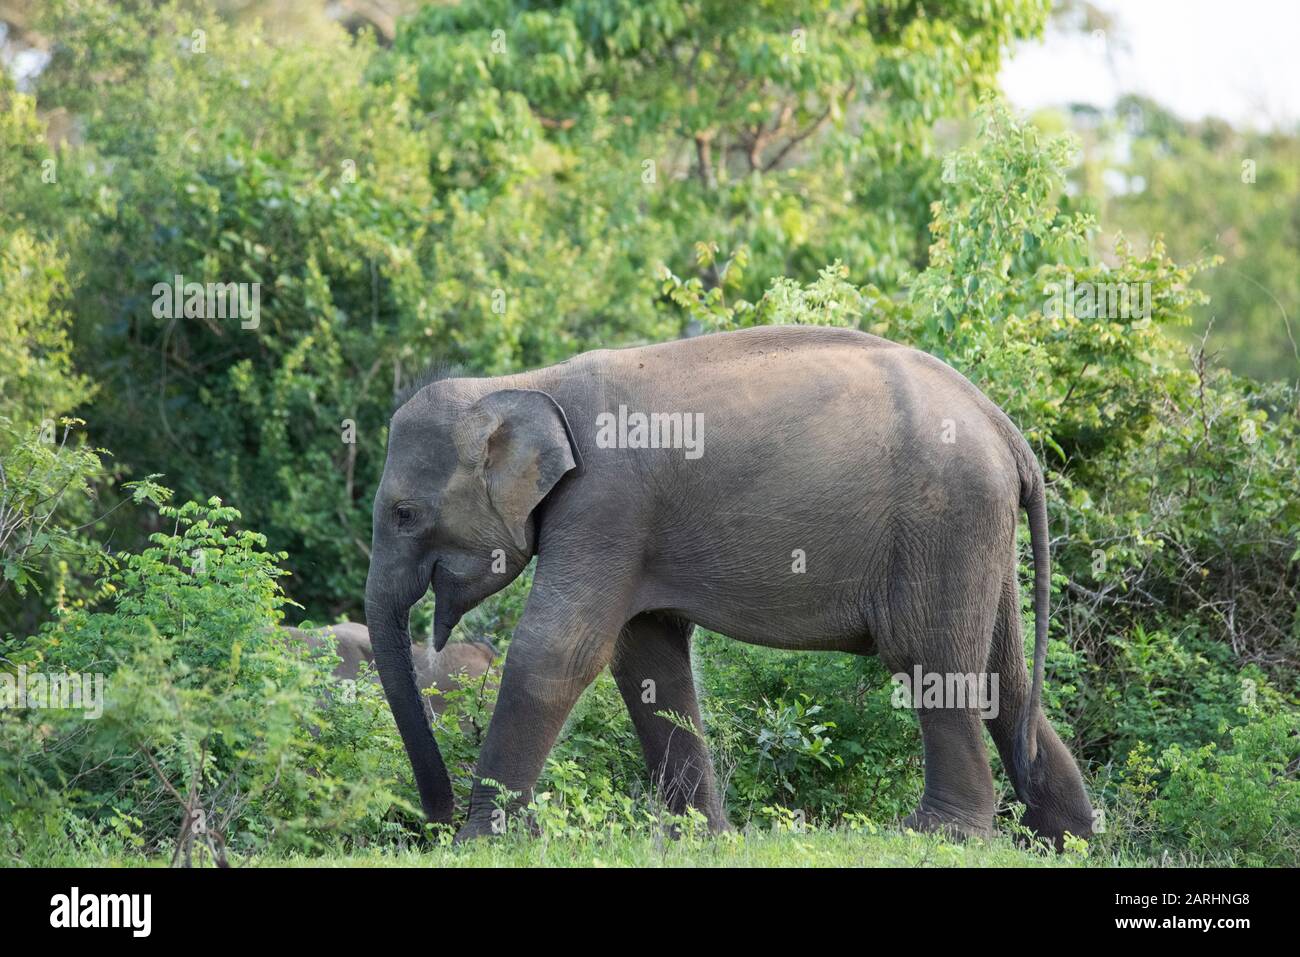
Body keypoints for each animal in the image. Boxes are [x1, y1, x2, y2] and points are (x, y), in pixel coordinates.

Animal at [365, 324, 1095, 846]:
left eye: (404, 514)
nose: (431, 819)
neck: (524, 383)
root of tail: (1006, 428)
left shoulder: (604, 506)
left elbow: (558, 651)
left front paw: (480, 842)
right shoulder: (629, 530)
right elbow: (648, 660)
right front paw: (703, 839)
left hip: (943, 520)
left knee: (929, 661)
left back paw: (937, 835)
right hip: (975, 534)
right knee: (1005, 677)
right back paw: (1071, 840)